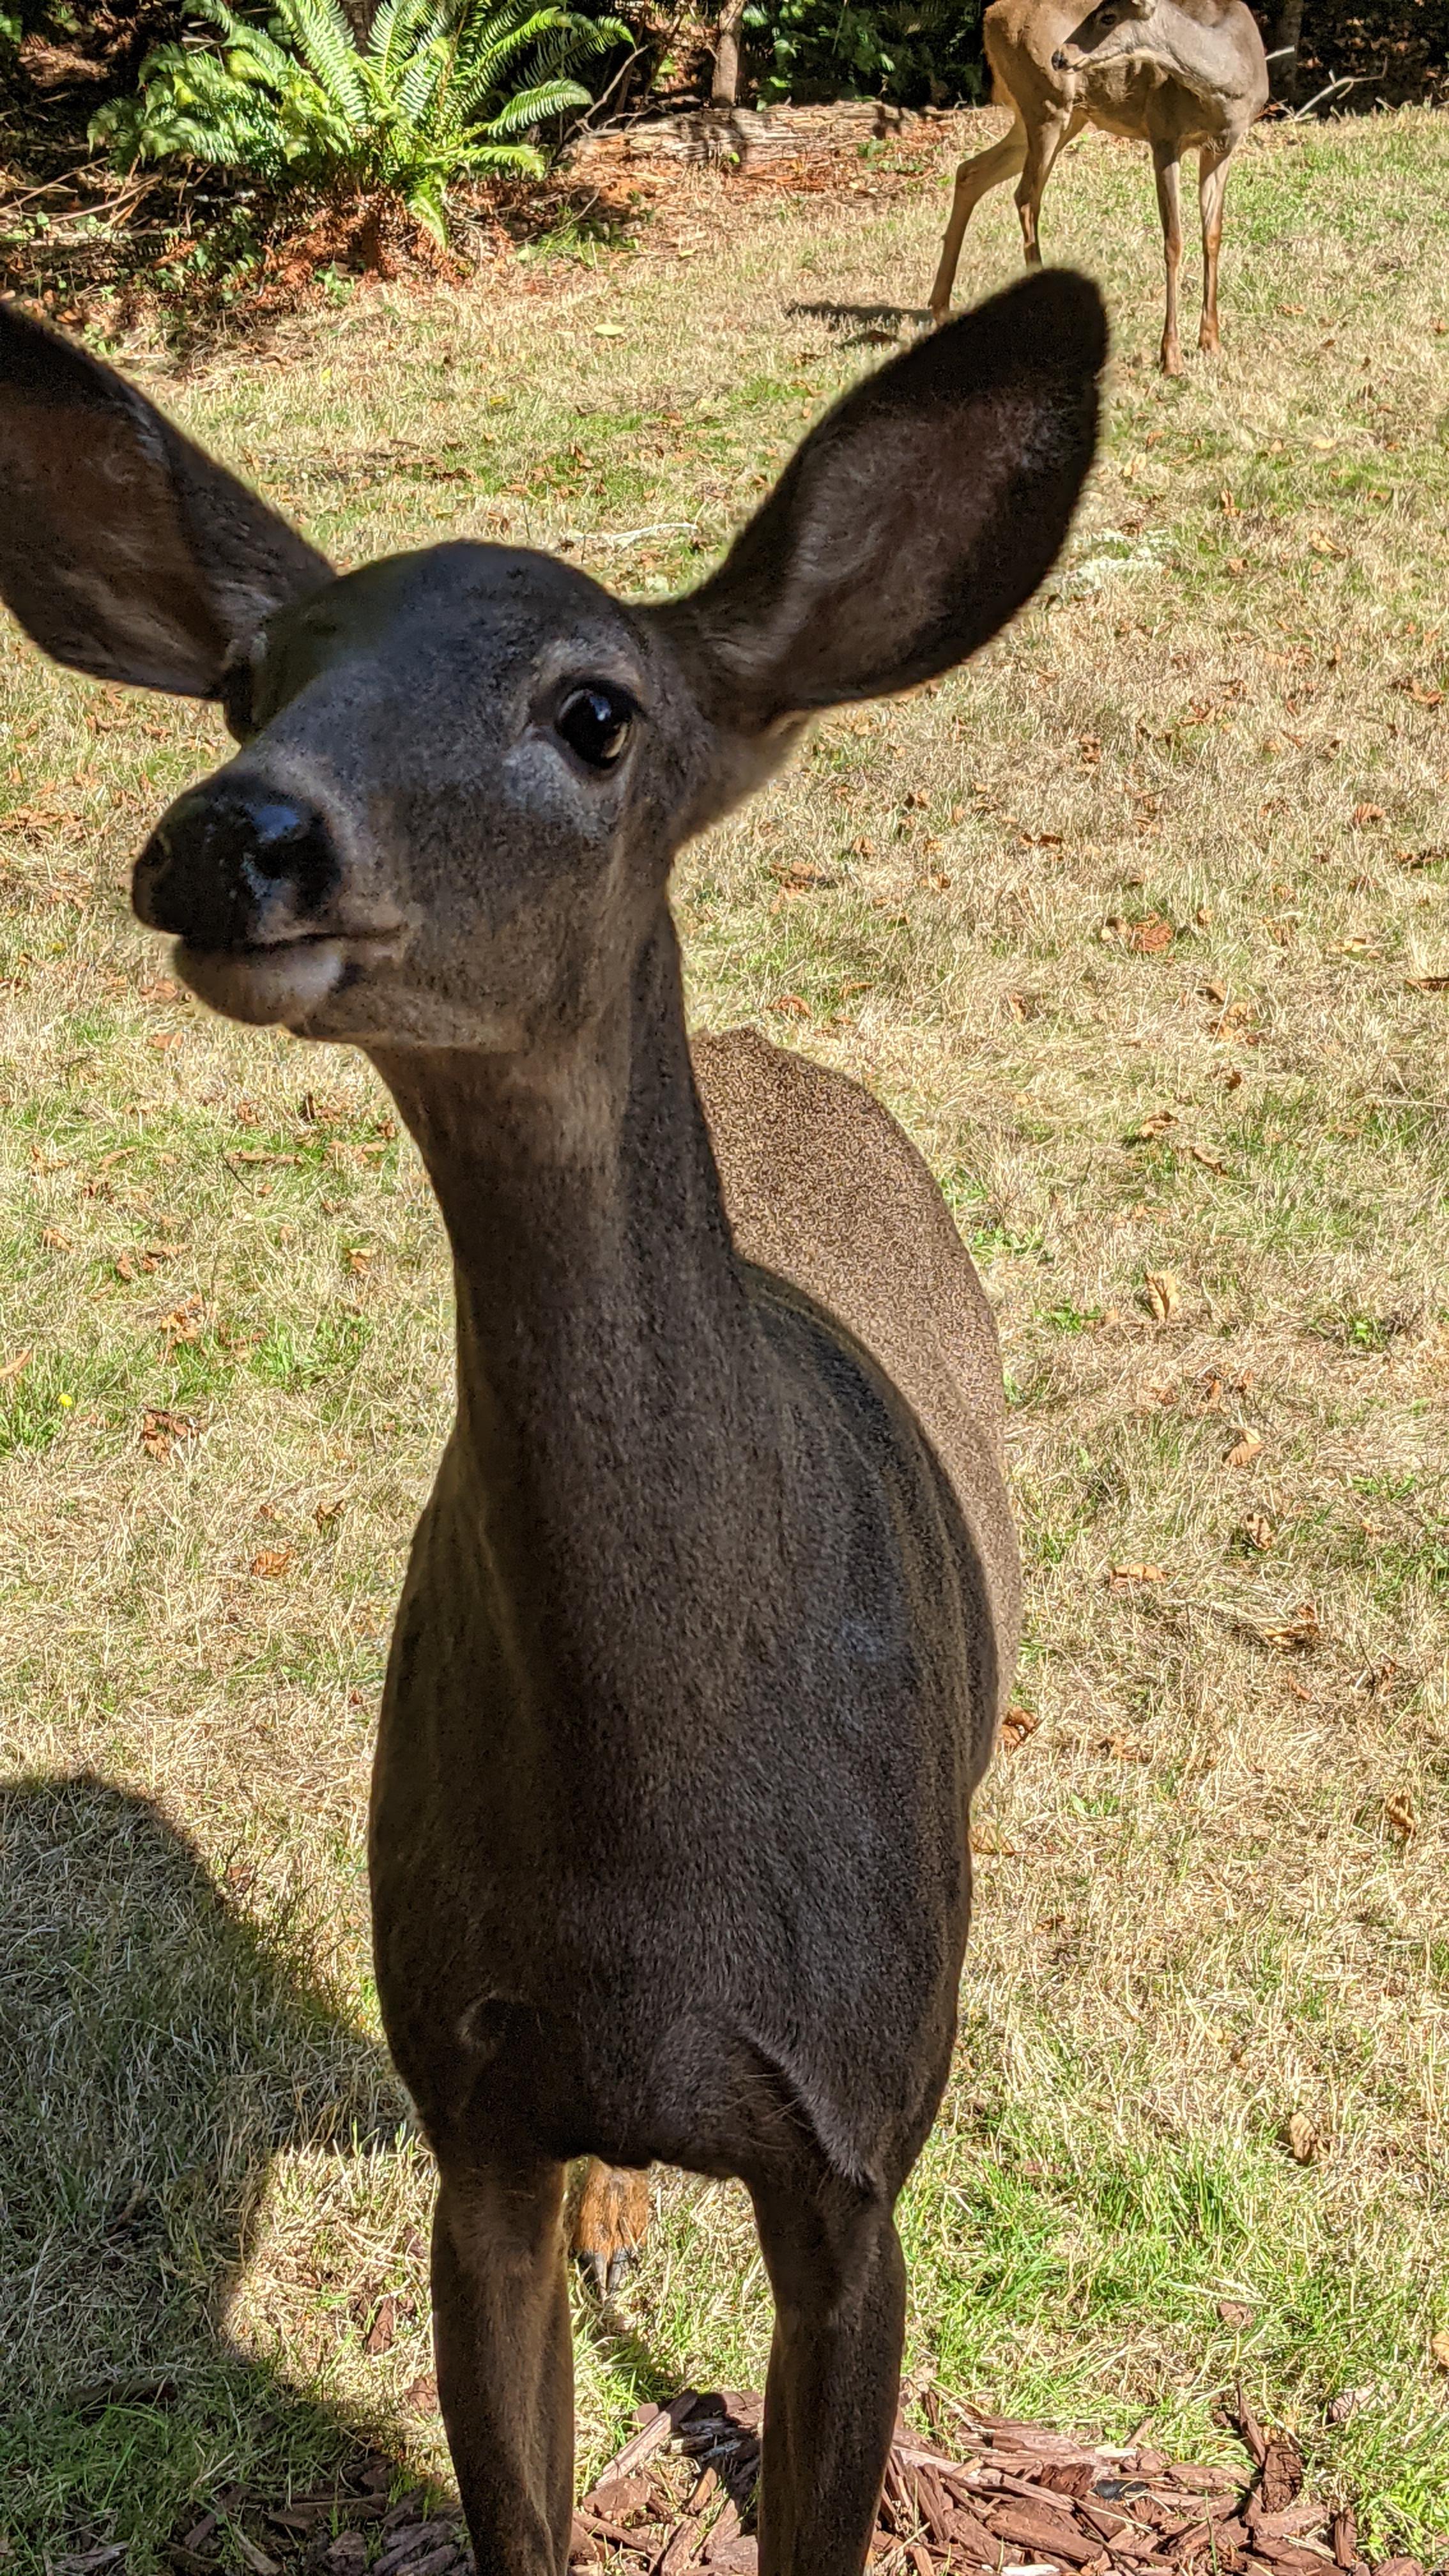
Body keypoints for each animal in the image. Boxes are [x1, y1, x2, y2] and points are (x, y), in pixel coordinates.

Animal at [0, 273, 1103, 2576]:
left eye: (593, 713)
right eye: (247, 679)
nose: (230, 834)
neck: (646, 1884)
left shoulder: (851, 2160)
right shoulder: (469, 2114)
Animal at [928, 0, 1268, 376]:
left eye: (1109, 17)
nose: (1060, 56)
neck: (1226, 86)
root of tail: (991, 17)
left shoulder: (1223, 147)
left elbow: (1213, 236)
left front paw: (1211, 342)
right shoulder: (1164, 135)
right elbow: (1174, 242)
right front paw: (1171, 357)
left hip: (1057, 116)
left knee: (970, 172)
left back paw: (940, 305)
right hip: (1047, 105)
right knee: (1026, 196)